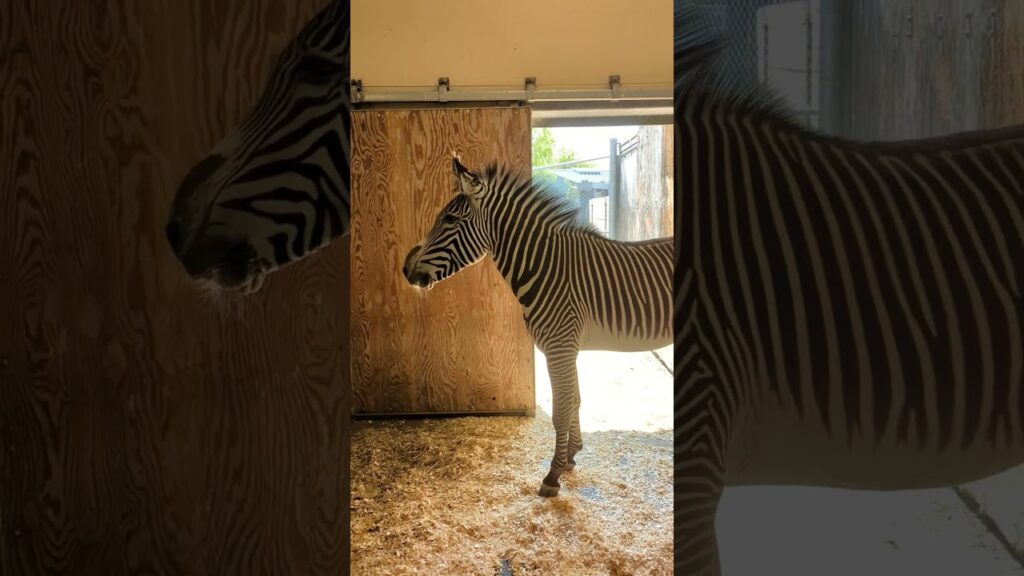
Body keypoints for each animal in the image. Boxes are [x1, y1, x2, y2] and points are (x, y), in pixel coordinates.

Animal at [402, 157, 673, 496]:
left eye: (450, 219)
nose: (405, 270)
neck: (545, 268)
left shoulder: (559, 347)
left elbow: (561, 410)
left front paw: (552, 475)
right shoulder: (566, 348)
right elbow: (575, 401)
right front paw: (571, 456)